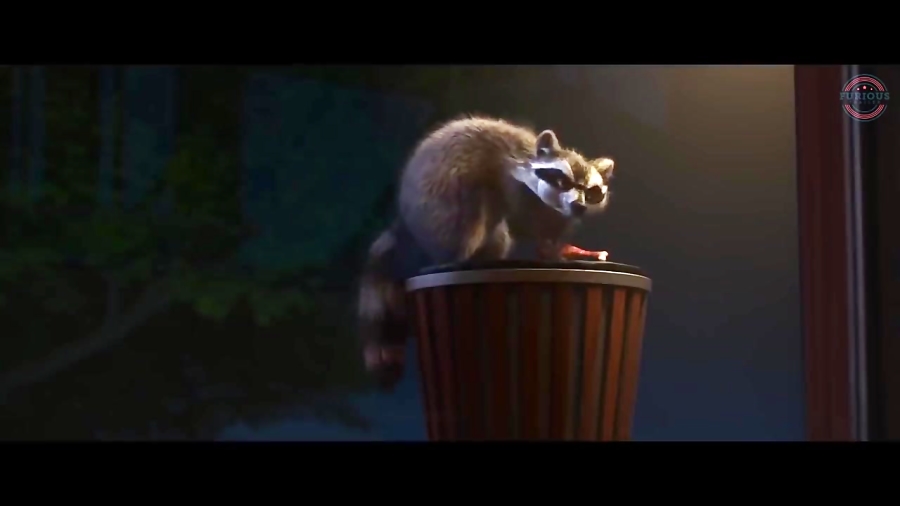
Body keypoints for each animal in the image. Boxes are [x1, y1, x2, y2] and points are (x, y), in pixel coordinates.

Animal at [358, 116, 615, 390]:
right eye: (562, 181)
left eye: (592, 191)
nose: (578, 206)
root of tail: (406, 223)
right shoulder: (512, 182)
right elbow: (525, 221)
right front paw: (553, 249)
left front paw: (560, 246)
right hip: (438, 209)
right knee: (469, 219)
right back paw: (459, 259)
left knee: (497, 236)